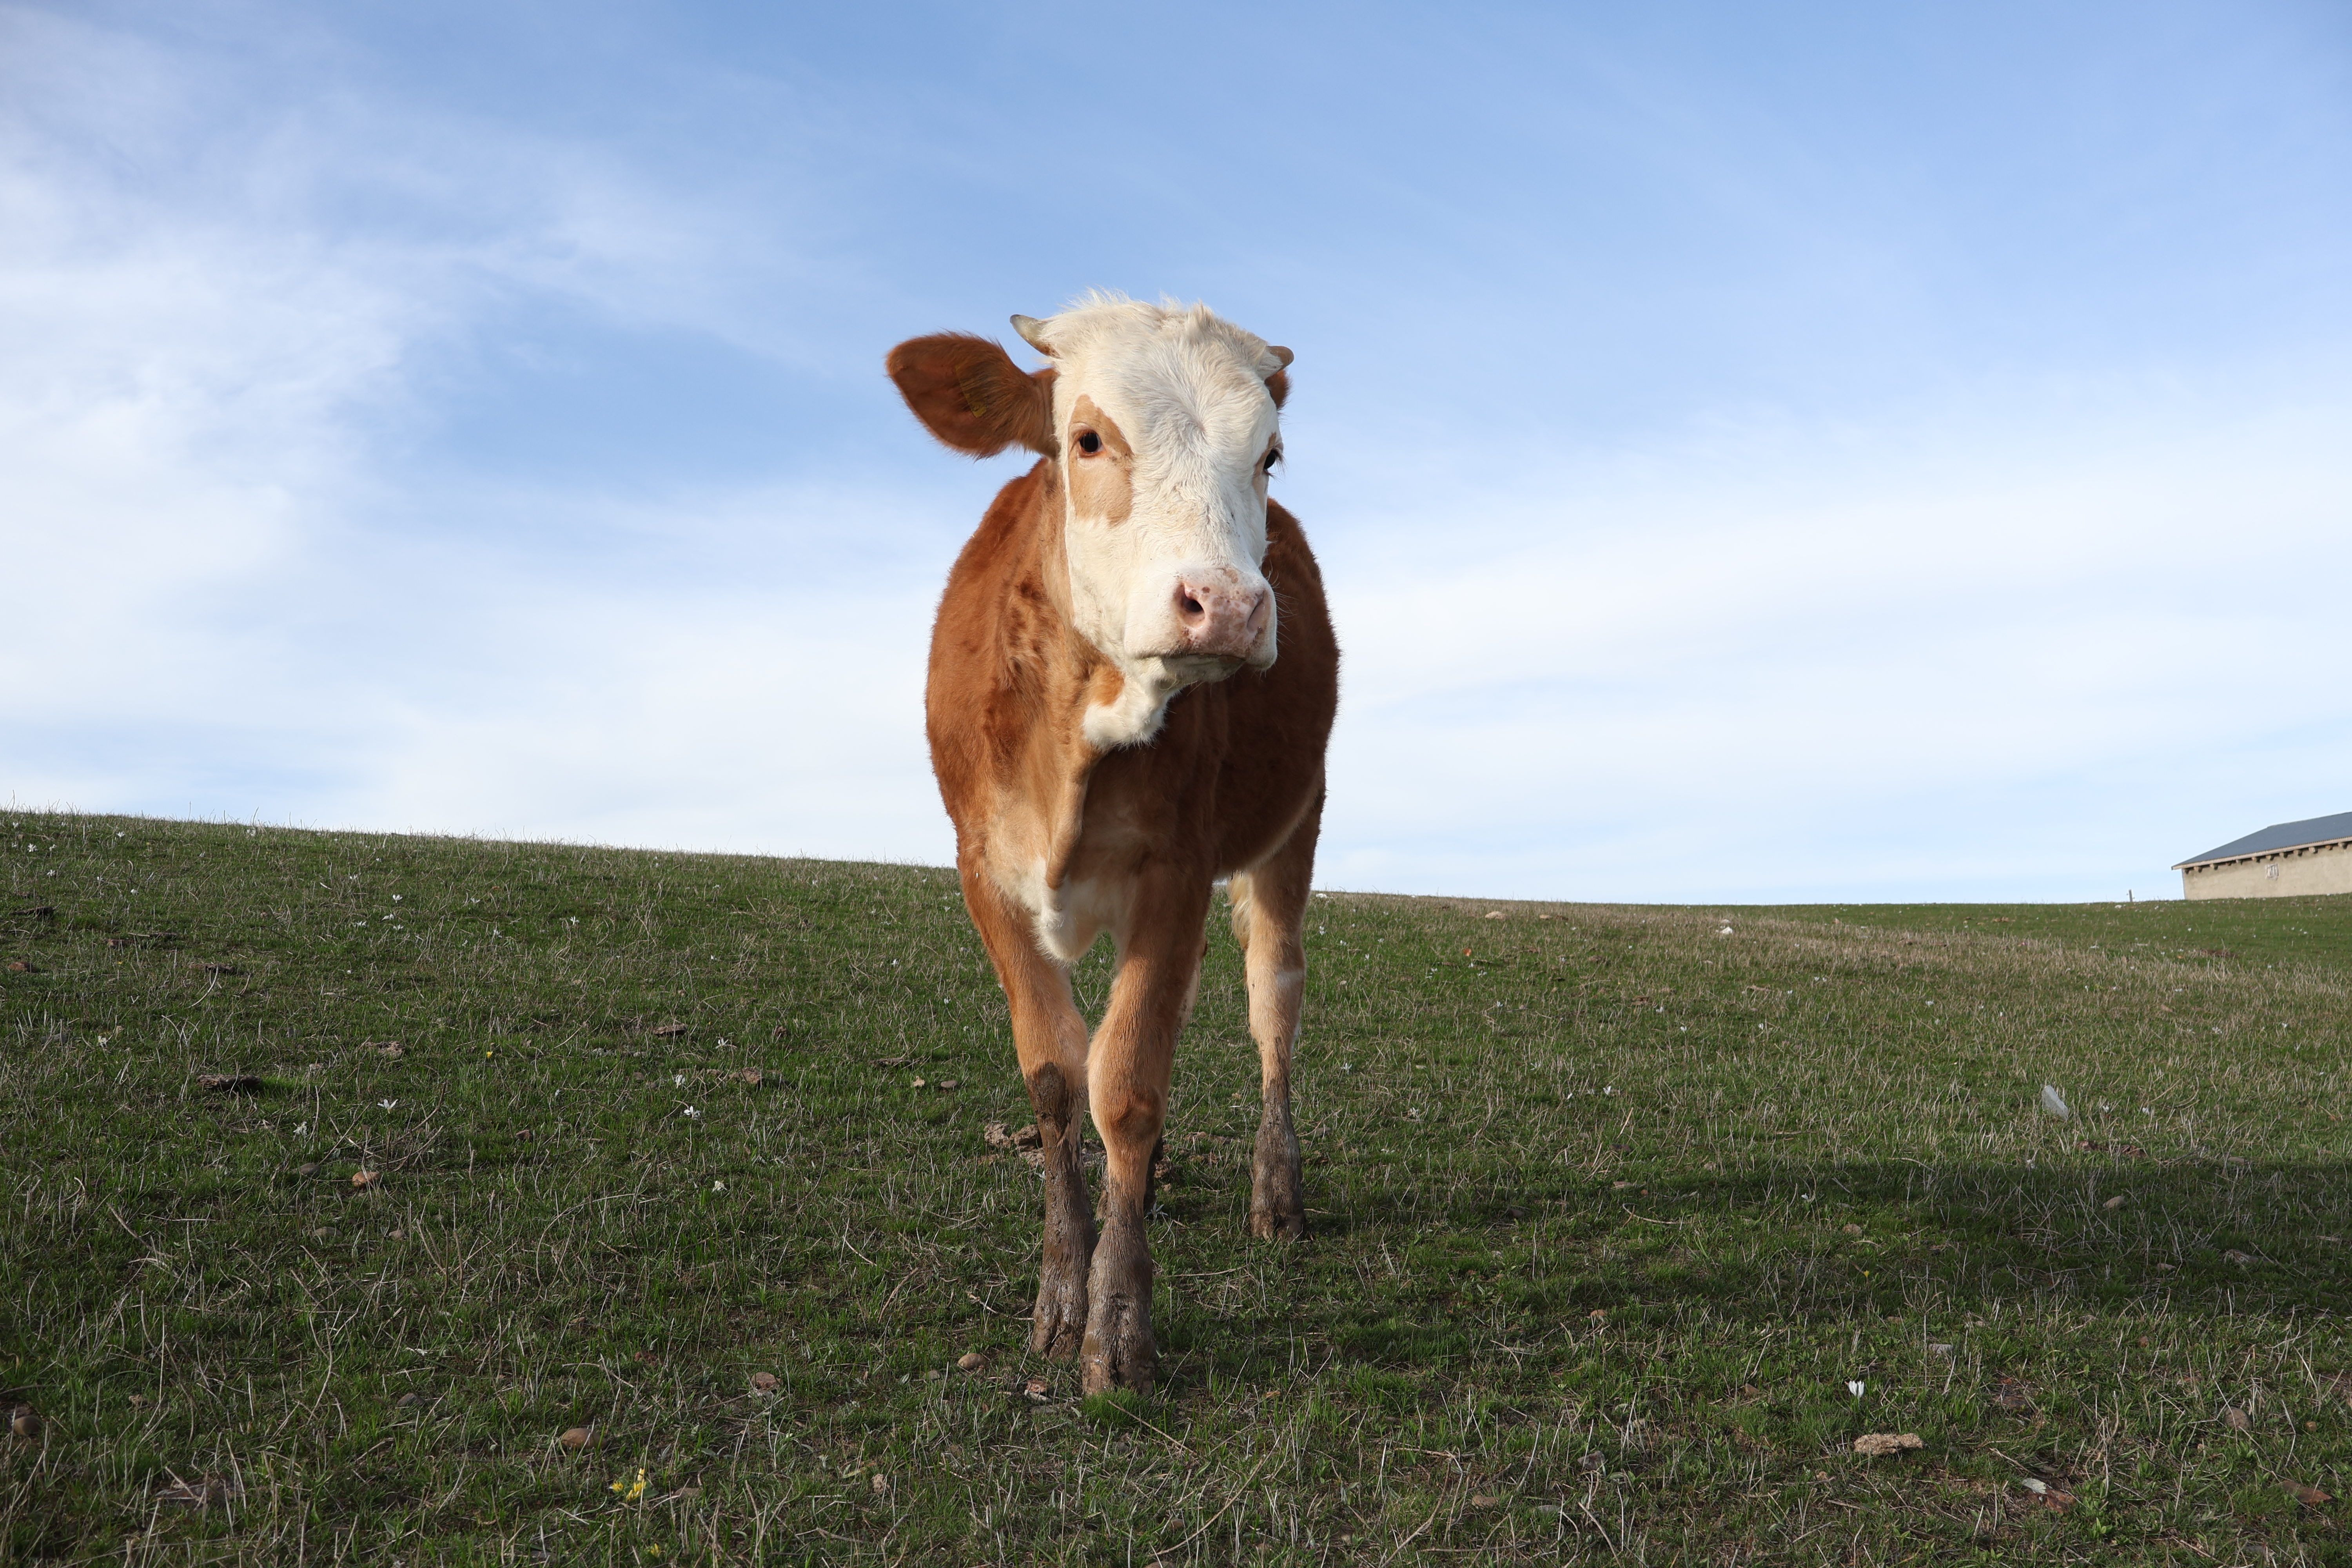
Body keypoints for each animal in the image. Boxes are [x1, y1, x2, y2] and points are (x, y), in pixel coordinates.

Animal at [887, 295, 1339, 1394]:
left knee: (1274, 1001)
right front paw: (1061, 1288)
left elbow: (1127, 1083)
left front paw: (1119, 1323)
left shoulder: (1178, 869)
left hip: (1294, 825)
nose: (1229, 604)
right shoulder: (984, 874)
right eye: (1089, 440)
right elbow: (1058, 1074)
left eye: (1269, 453)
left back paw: (1278, 1190)